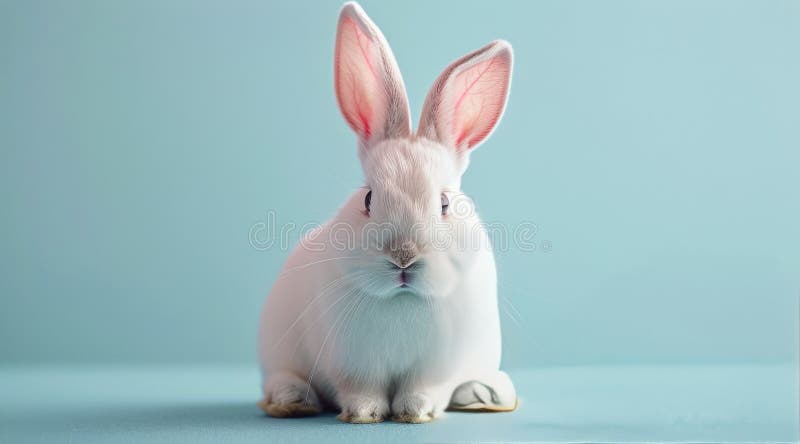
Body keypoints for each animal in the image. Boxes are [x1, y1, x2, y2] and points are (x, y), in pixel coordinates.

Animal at [258, 1, 517, 423]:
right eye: (368, 199)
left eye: (444, 203)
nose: (403, 257)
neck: (401, 301)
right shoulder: (351, 365)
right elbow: (361, 390)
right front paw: (365, 413)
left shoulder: (435, 369)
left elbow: (423, 389)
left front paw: (415, 412)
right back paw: (291, 399)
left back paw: (485, 392)